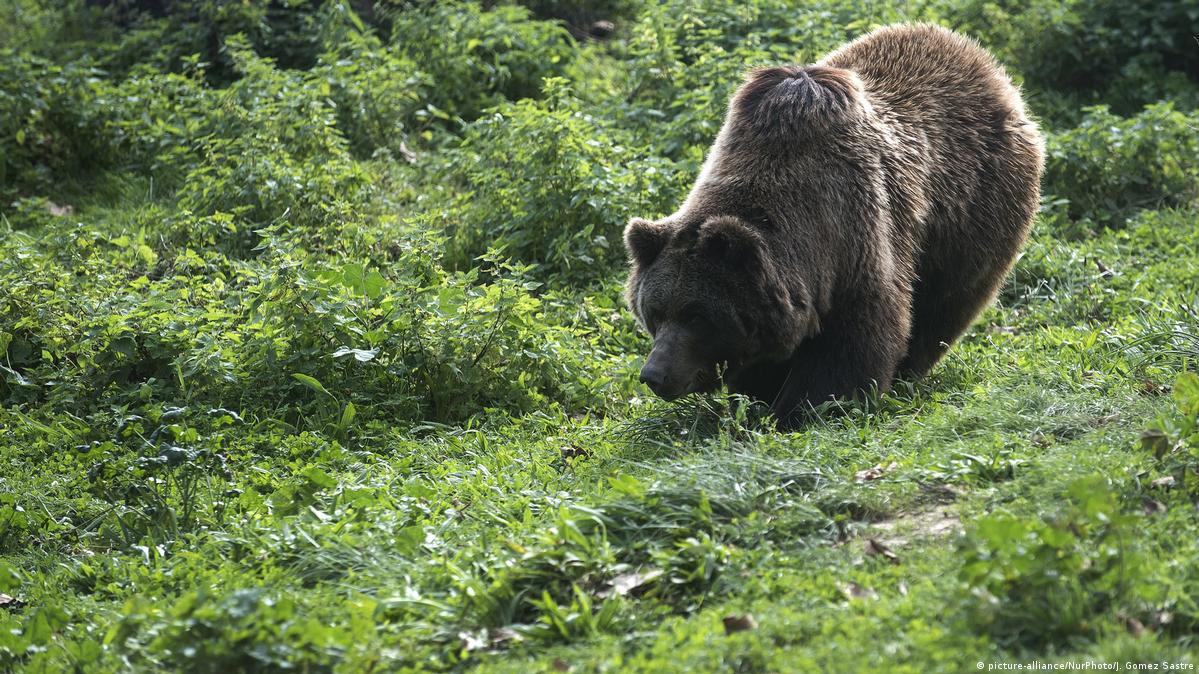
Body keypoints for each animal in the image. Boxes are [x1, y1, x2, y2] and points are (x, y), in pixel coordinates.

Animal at [623, 23, 1043, 425]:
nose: (654, 375)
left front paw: (807, 408)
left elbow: (855, 342)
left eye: (697, 315)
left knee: (946, 301)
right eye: (655, 312)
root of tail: (984, 62)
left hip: (973, 208)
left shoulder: (856, 239)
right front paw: (760, 396)